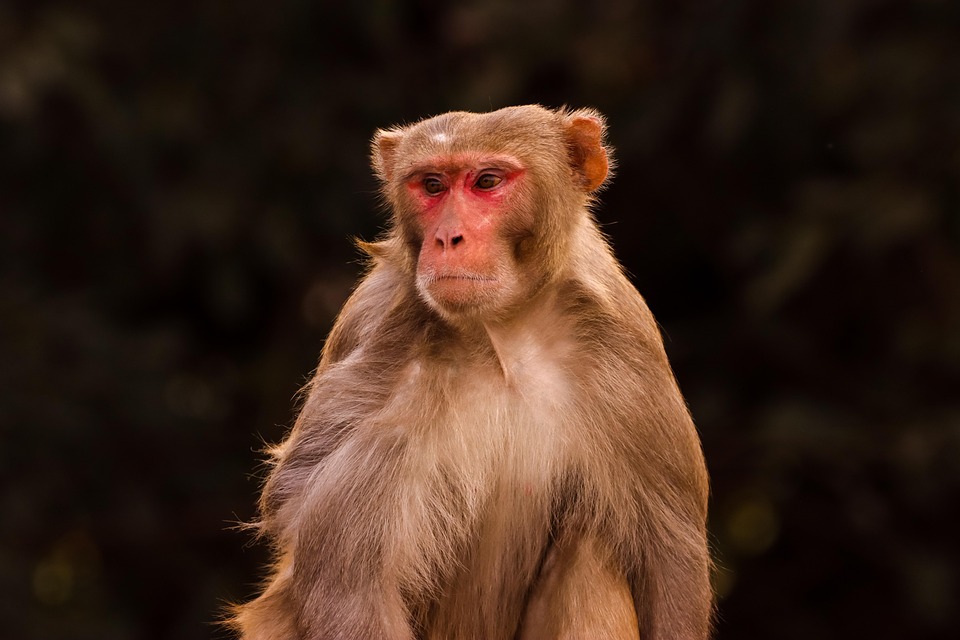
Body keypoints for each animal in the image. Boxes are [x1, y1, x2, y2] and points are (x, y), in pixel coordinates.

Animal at [231, 105, 712, 640]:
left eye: (486, 181)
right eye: (432, 185)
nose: (446, 238)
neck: (503, 337)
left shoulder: (626, 358)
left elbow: (669, 561)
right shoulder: (384, 362)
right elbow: (346, 577)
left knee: (590, 547)